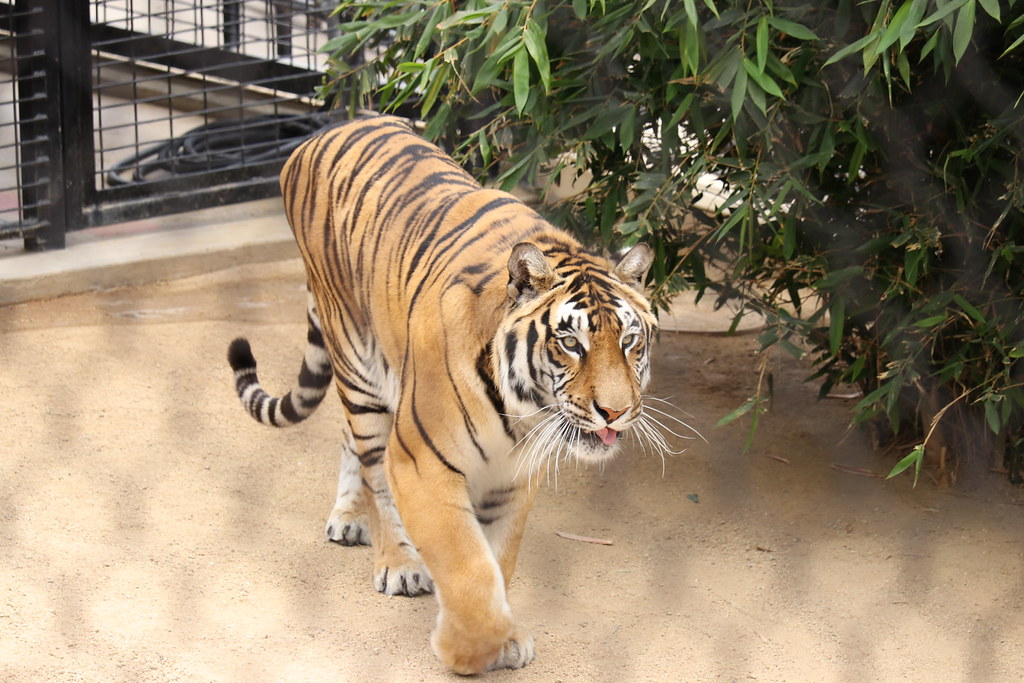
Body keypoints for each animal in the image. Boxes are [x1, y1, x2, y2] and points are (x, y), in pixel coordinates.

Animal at [227, 115, 660, 674]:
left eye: (629, 341)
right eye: (571, 343)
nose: (615, 411)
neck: (522, 412)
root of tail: (325, 132)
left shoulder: (514, 479)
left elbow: (499, 562)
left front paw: (504, 637)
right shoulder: (422, 464)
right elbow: (469, 567)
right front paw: (467, 649)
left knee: (348, 441)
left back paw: (348, 516)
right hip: (360, 368)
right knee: (373, 471)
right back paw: (395, 559)